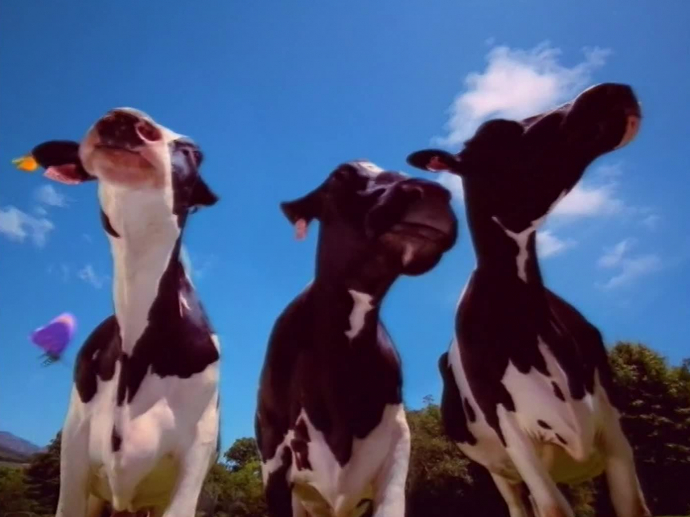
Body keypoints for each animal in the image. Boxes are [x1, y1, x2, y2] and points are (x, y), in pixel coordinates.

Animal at [406, 83, 651, 517]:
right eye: (496, 135)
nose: (610, 90)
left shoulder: (613, 428)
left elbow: (631, 506)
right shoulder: (517, 440)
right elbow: (551, 508)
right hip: (501, 472)